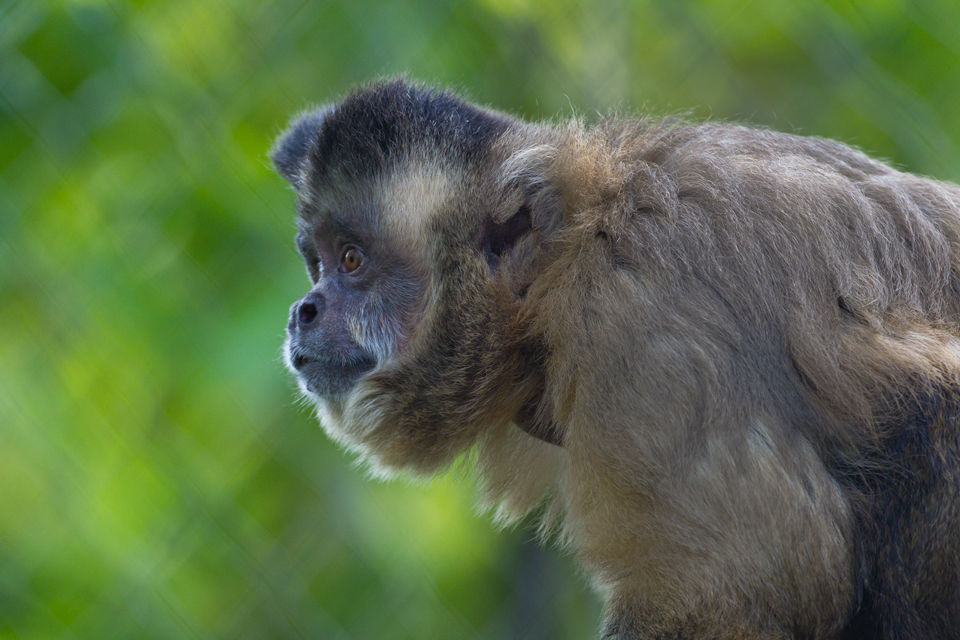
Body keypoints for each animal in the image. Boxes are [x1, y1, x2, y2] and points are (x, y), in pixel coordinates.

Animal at [270, 78, 960, 639]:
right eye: (316, 263)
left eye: (352, 261)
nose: (303, 309)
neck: (574, 251)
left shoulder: (639, 325)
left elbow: (750, 587)